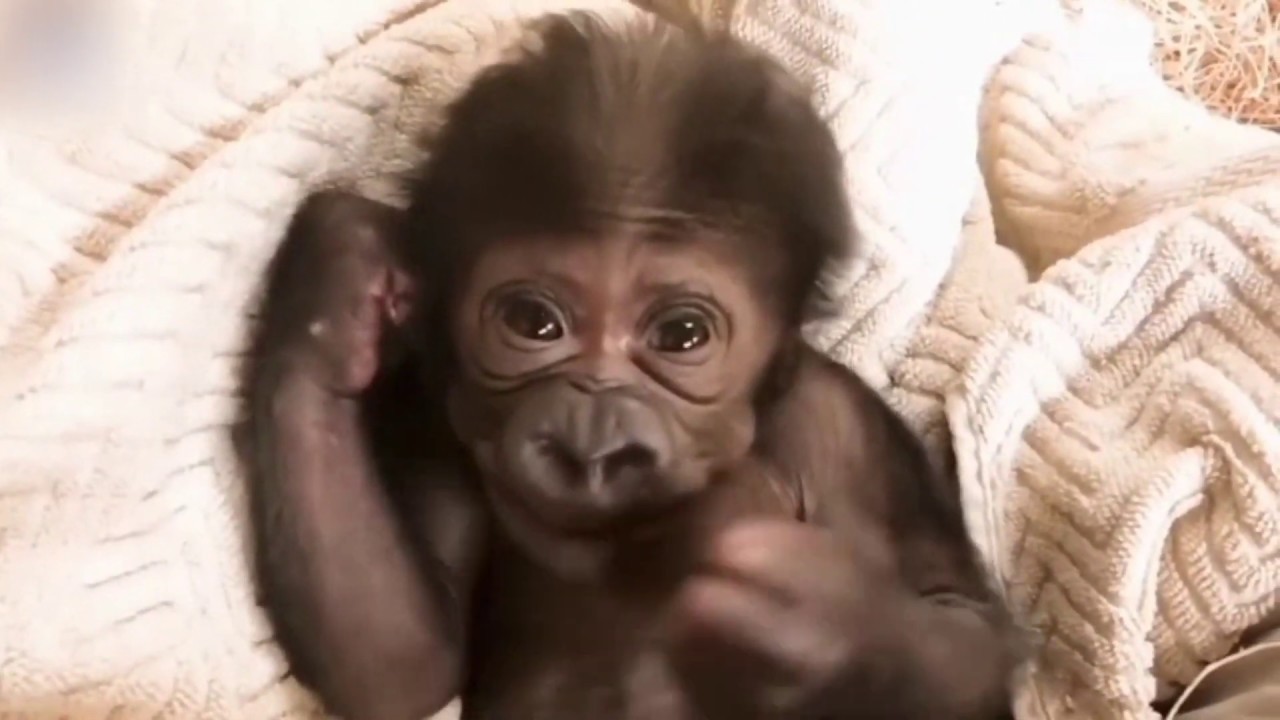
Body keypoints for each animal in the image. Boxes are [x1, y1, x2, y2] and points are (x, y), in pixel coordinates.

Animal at [239, 11, 1023, 720]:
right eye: (534, 324)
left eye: (681, 334)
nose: (593, 425)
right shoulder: (435, 421)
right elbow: (402, 665)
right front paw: (335, 285)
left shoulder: (841, 425)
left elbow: (965, 626)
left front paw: (819, 622)